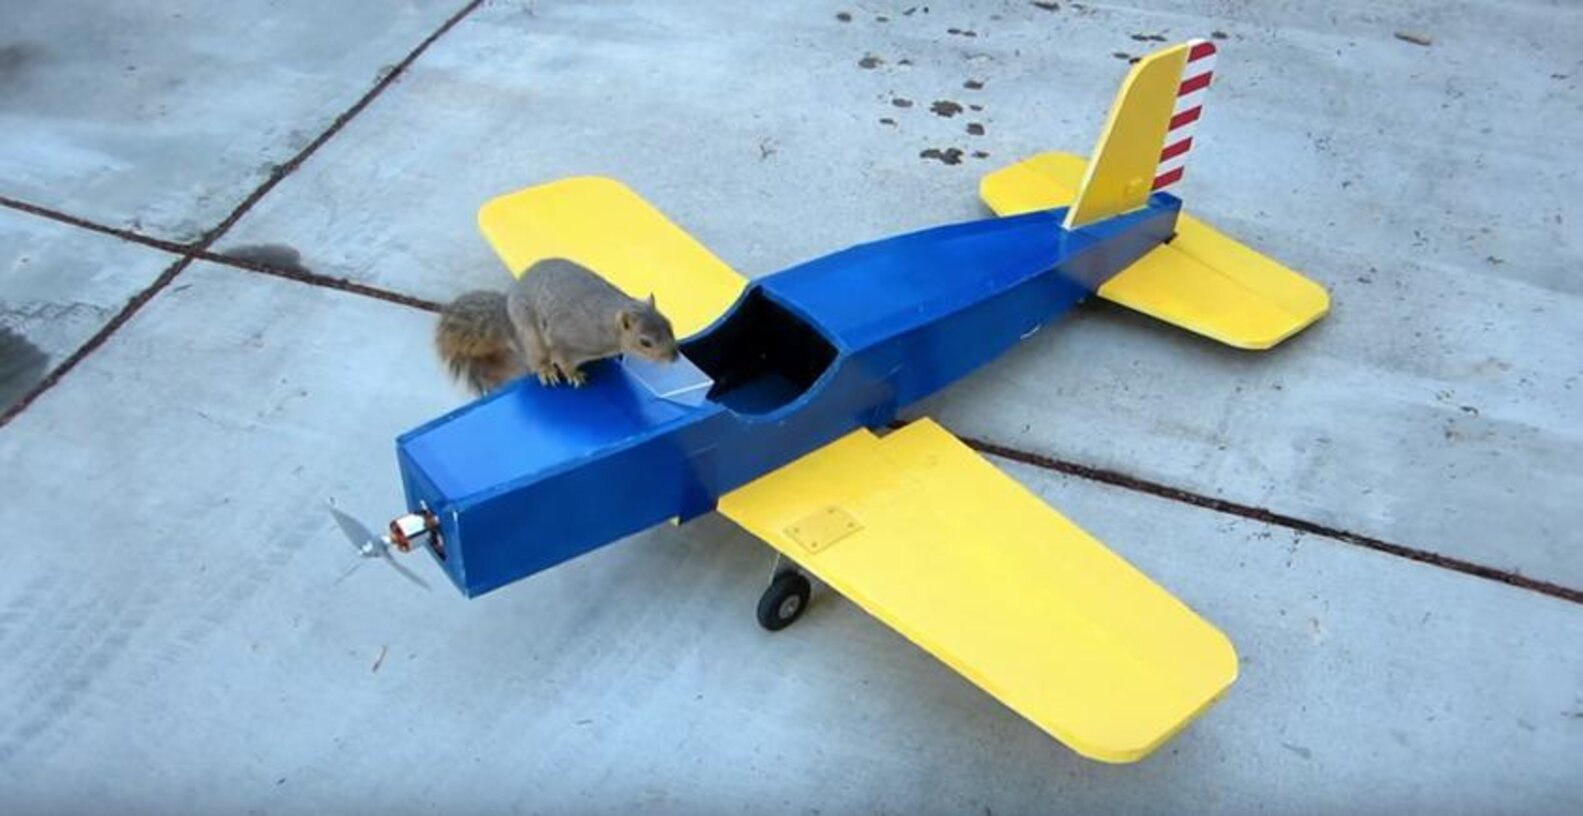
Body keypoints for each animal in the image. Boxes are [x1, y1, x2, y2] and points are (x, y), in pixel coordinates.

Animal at [435, 257, 679, 395]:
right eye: (645, 342)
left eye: (669, 324)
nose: (674, 358)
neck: (605, 323)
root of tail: (507, 320)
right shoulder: (568, 341)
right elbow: (564, 361)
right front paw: (574, 375)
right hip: (531, 337)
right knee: (536, 360)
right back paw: (546, 371)